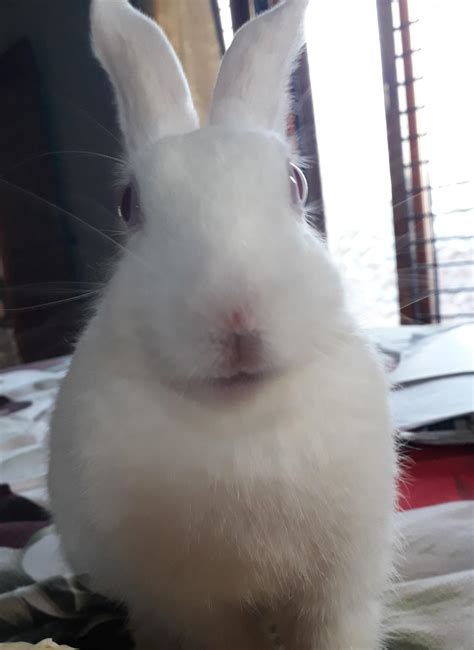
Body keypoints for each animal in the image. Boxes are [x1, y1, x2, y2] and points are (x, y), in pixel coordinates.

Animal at [48, 0, 398, 649]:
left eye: (297, 184)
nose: (236, 315)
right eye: (127, 205)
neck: (242, 421)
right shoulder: (191, 609)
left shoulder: (336, 593)